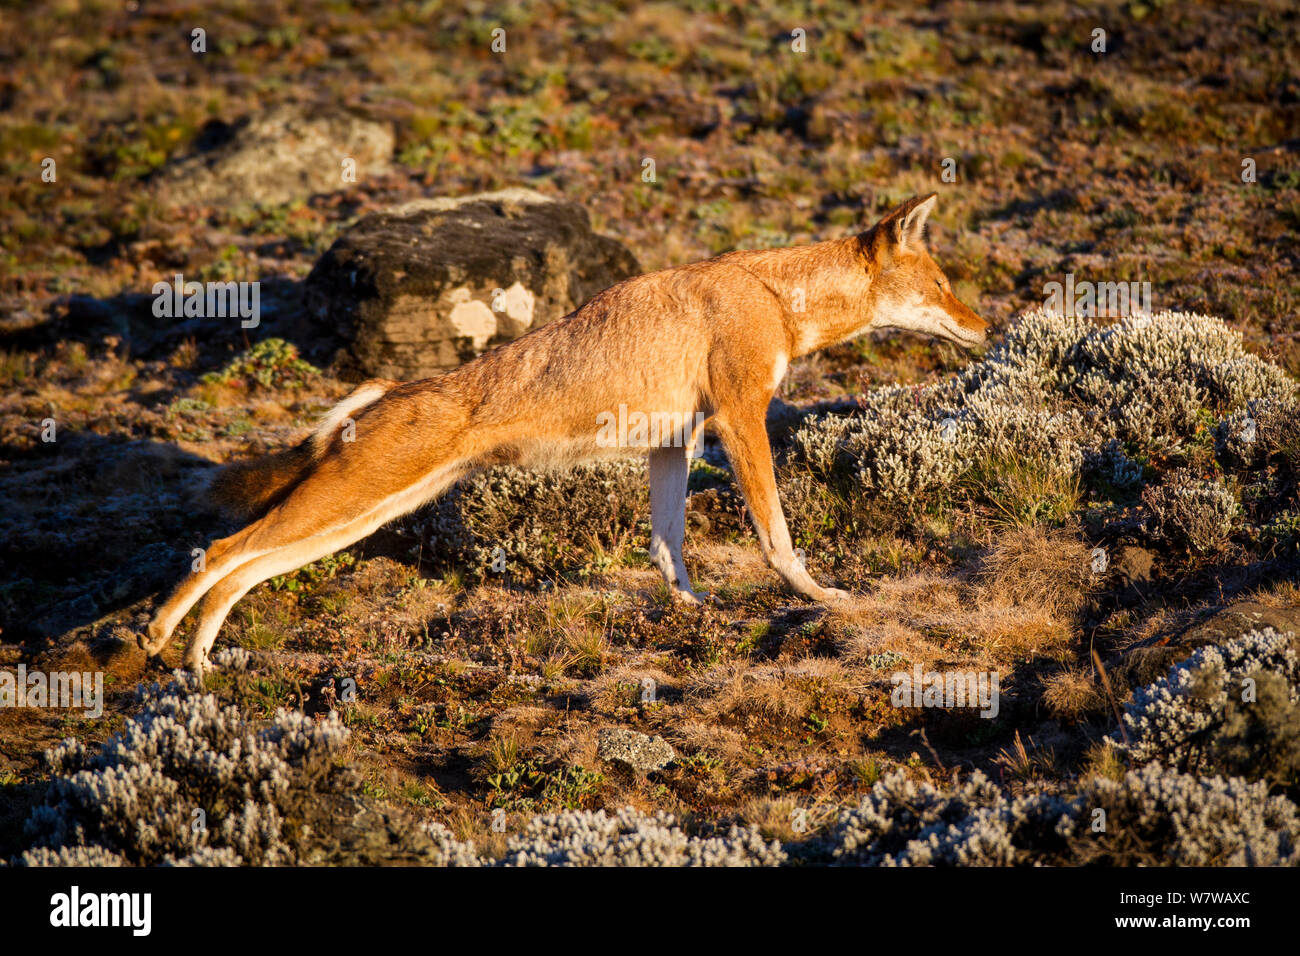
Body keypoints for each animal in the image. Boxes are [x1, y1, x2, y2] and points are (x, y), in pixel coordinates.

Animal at [141, 192, 987, 671]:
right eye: (945, 284)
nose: (987, 327)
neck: (776, 293)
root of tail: (389, 389)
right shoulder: (739, 419)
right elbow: (778, 537)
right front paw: (820, 596)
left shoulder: (672, 444)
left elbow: (667, 547)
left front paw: (692, 611)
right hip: (346, 508)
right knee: (224, 550)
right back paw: (158, 640)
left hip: (357, 519)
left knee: (244, 568)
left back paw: (197, 663)